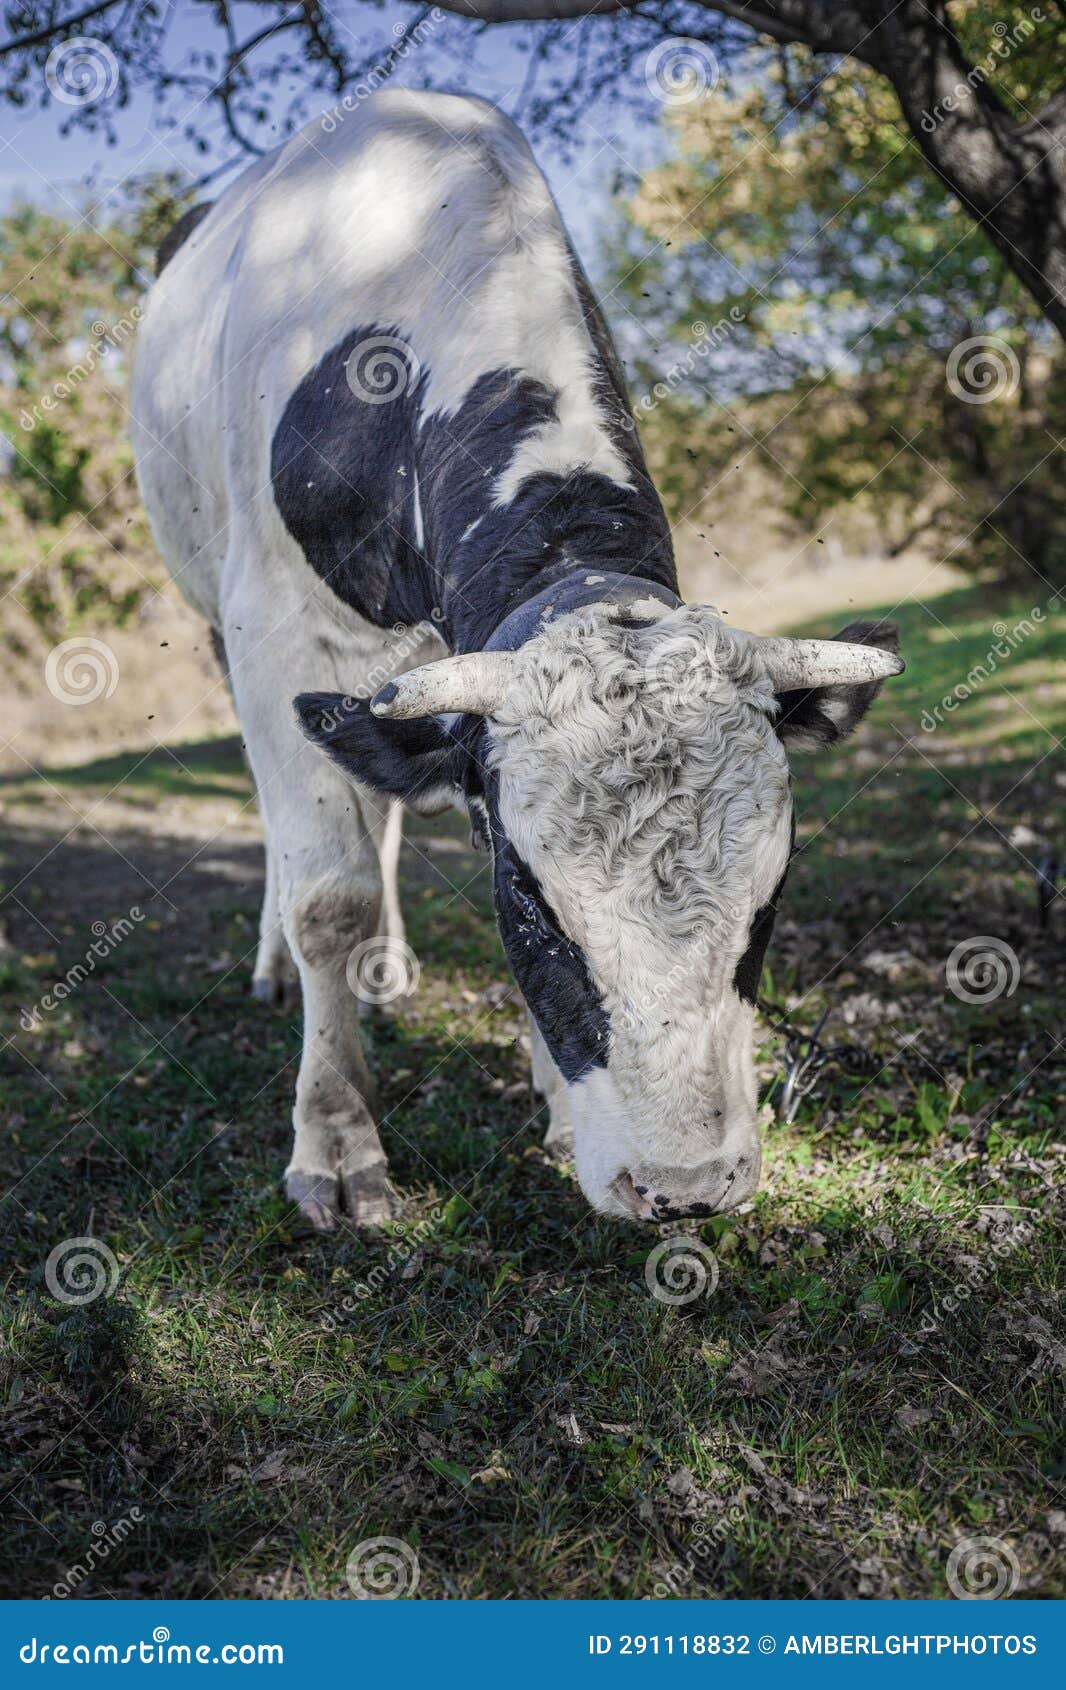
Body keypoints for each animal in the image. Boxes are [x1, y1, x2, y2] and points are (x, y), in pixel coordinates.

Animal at [131, 89, 903, 1231]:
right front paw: (337, 1142)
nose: (685, 1186)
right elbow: (328, 895)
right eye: (530, 900)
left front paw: (554, 1108)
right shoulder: (274, 628)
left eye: (769, 898)